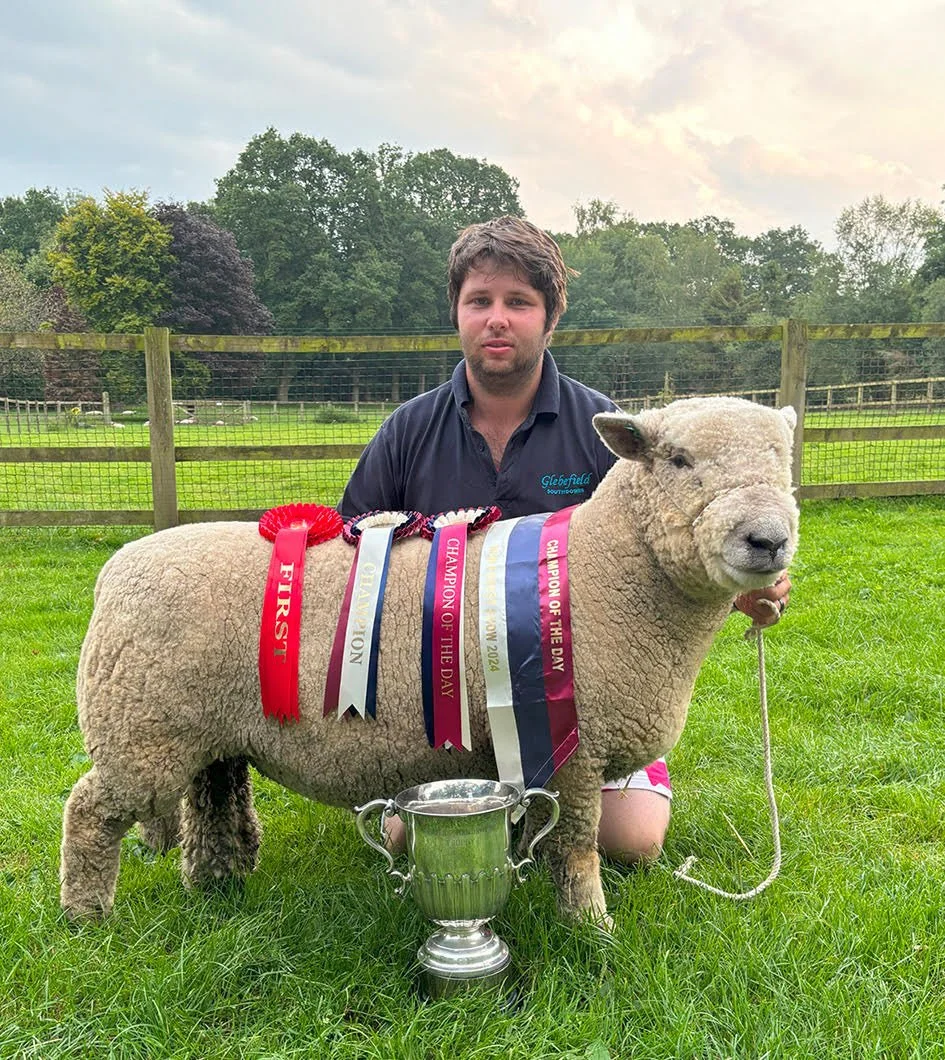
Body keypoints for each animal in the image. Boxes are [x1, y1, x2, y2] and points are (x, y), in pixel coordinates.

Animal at [60, 396, 799, 924]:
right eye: (677, 460)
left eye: (783, 460)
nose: (767, 541)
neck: (606, 569)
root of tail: (115, 569)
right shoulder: (574, 750)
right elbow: (576, 843)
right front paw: (590, 927)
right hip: (141, 726)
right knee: (91, 811)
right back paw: (87, 917)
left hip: (205, 730)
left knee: (212, 798)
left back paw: (218, 887)